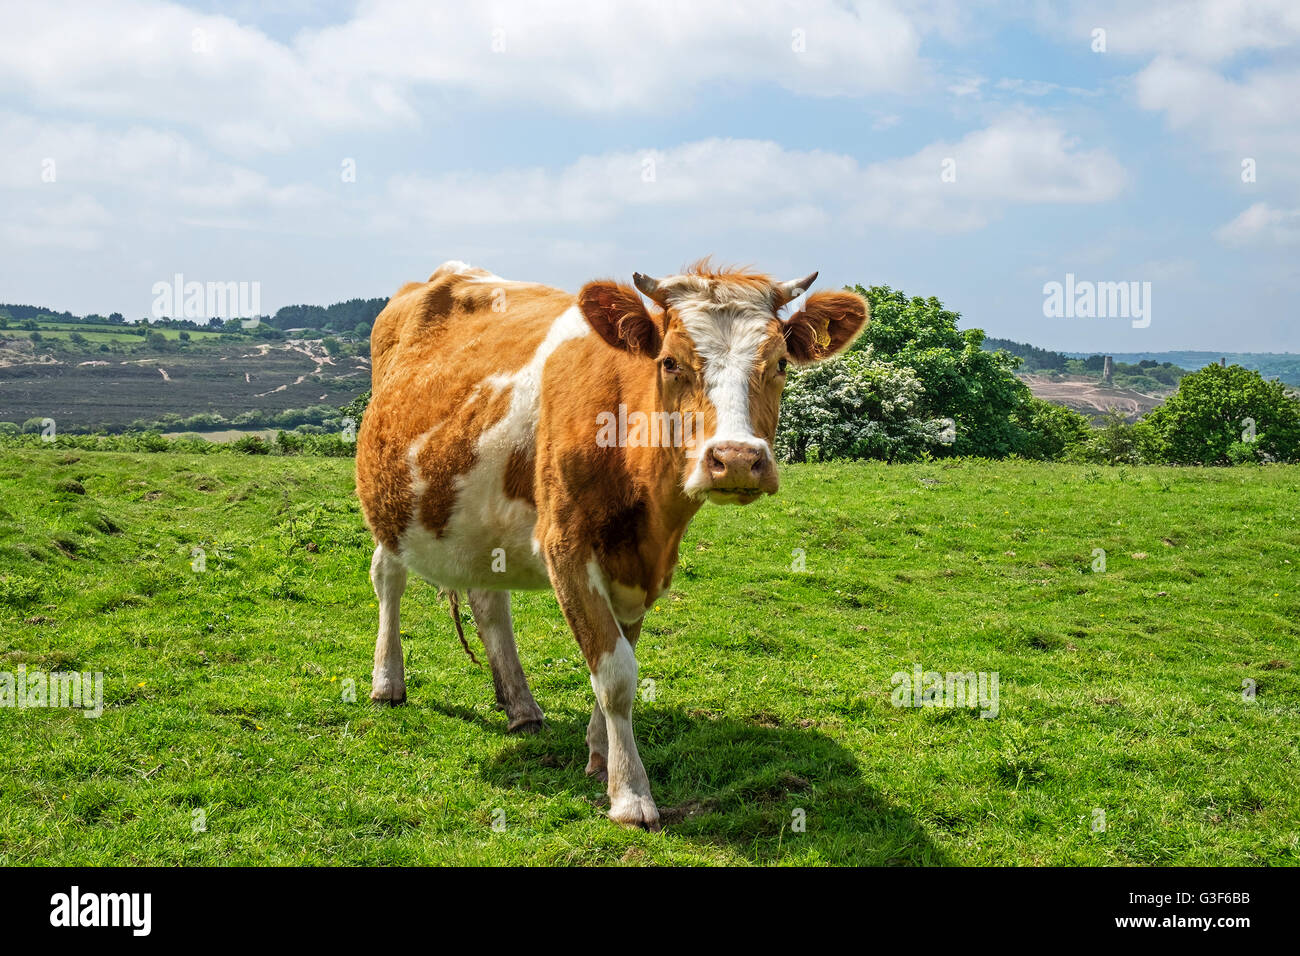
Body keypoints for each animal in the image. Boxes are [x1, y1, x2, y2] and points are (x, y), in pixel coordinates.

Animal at [355, 259, 868, 830]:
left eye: (780, 362)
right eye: (670, 362)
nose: (735, 458)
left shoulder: (640, 566)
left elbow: (621, 657)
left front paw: (600, 753)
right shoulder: (566, 548)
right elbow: (617, 675)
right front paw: (630, 794)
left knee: (489, 600)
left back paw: (521, 707)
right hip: (391, 505)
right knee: (388, 578)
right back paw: (387, 682)